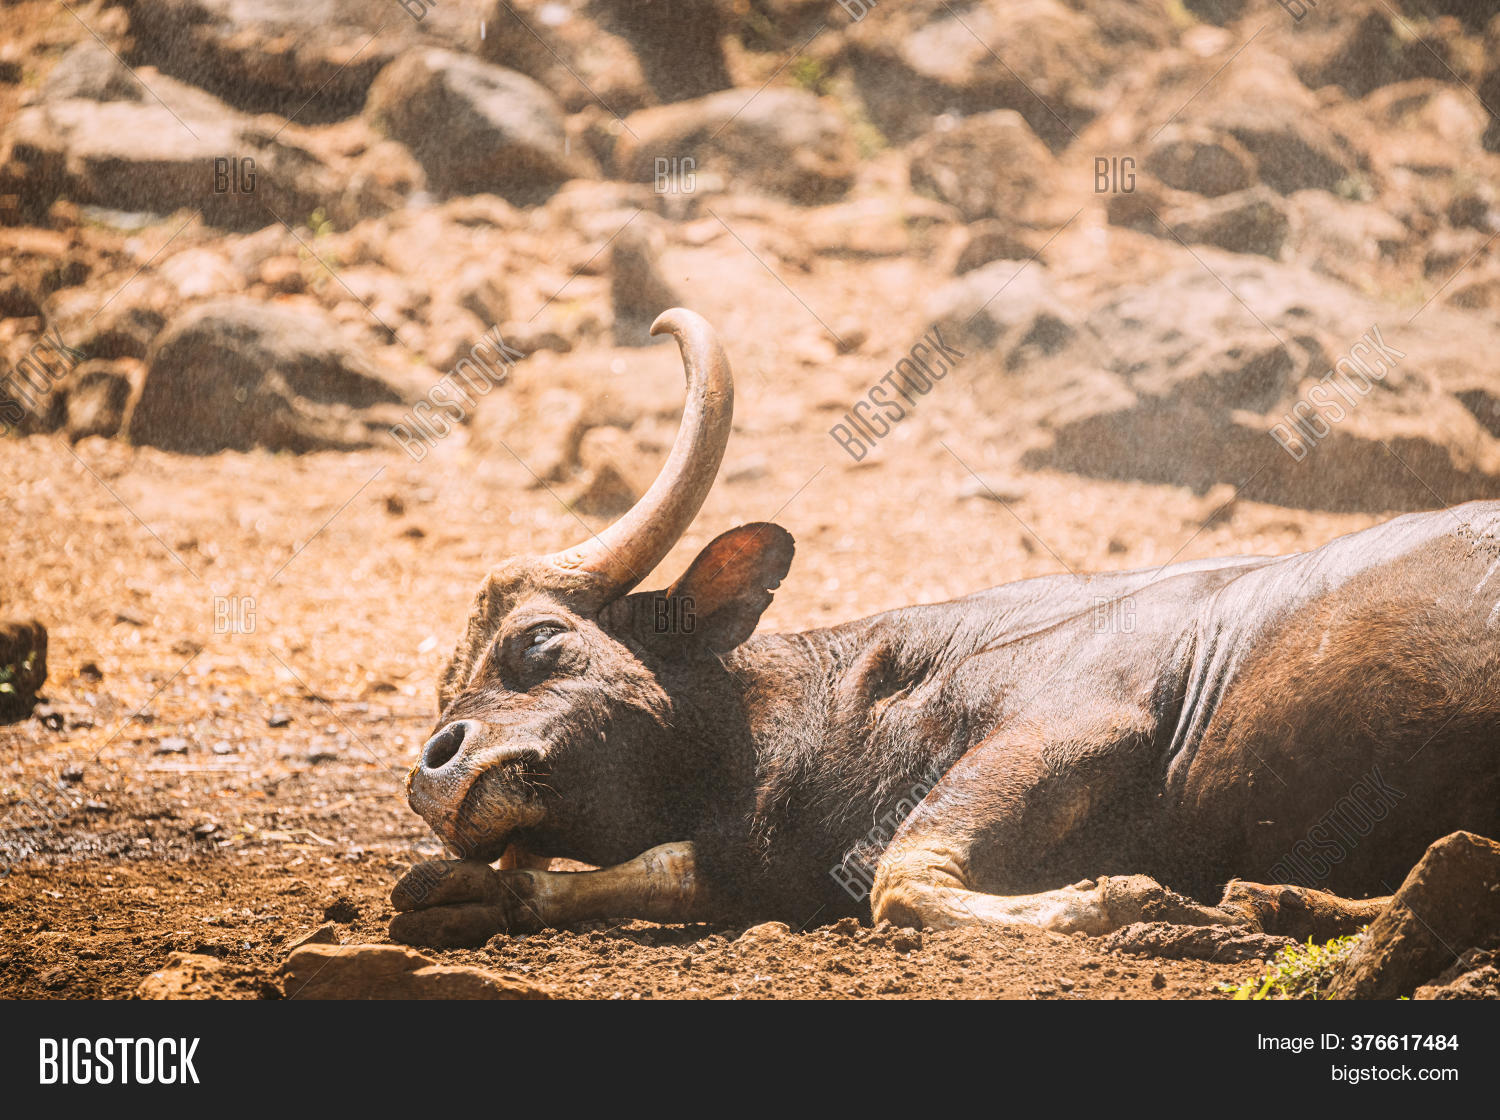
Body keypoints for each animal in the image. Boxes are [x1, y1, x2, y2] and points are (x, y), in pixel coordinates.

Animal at [390, 308, 1500, 947]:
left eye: (541, 641)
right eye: (446, 690)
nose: (434, 767)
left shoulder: (1071, 727)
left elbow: (905, 878)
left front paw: (1133, 902)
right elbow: (653, 873)